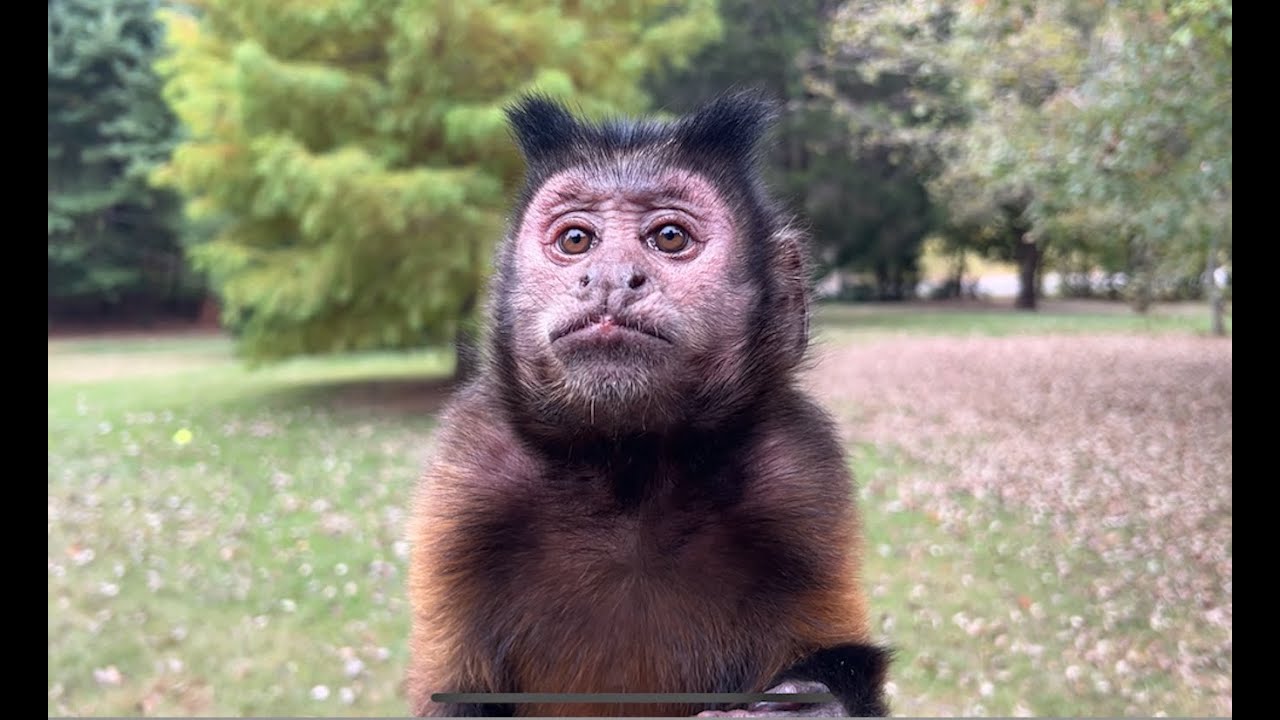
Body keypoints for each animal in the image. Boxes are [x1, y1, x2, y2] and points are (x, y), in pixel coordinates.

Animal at [404, 89, 891, 718]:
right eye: (576, 240)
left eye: (669, 237)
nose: (612, 276)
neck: (628, 468)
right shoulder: (471, 473)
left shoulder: (799, 474)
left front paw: (802, 703)